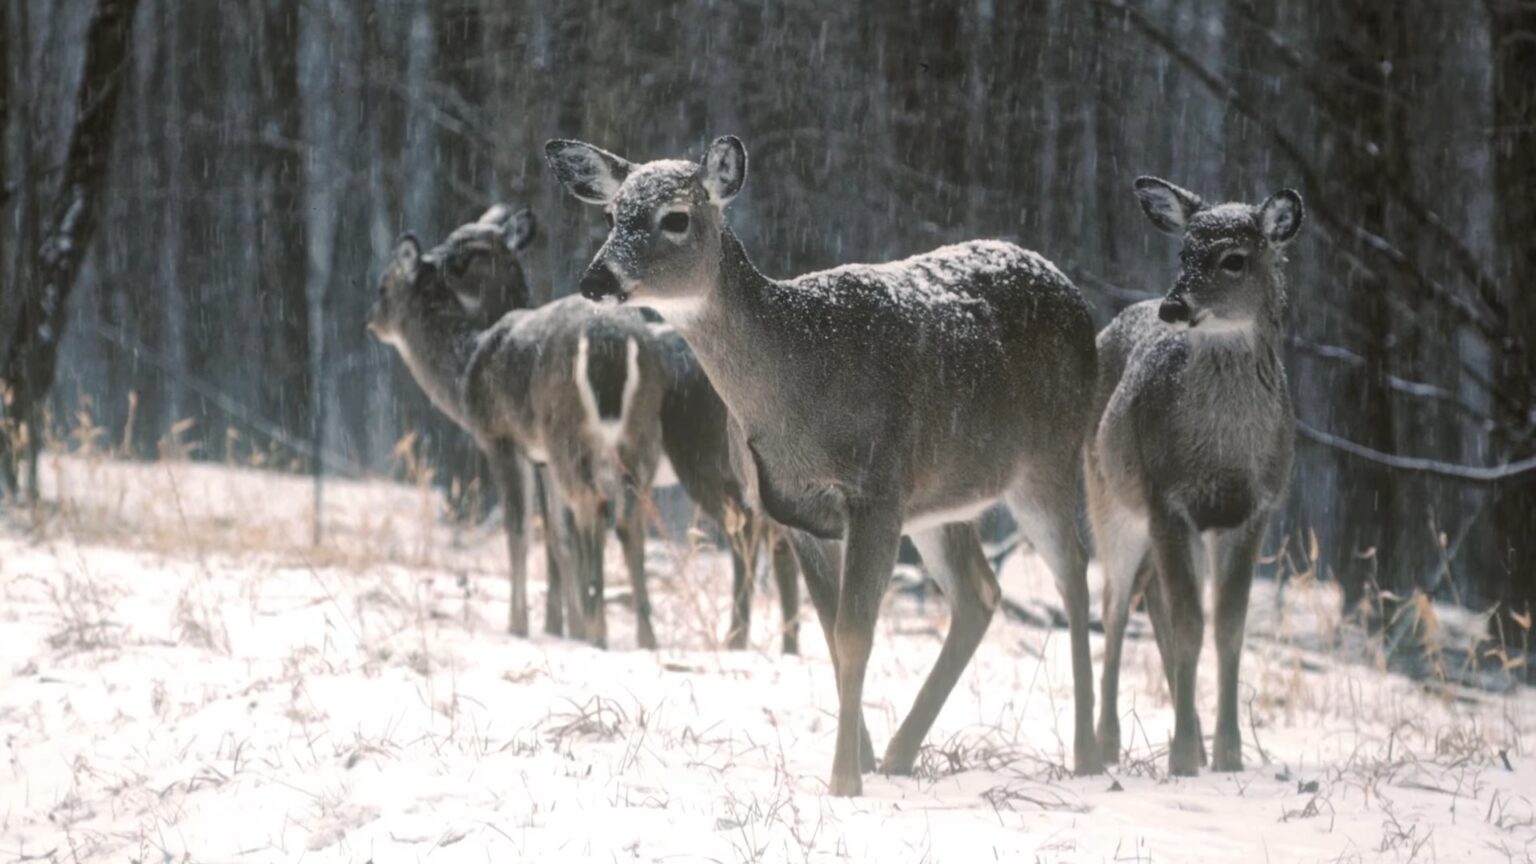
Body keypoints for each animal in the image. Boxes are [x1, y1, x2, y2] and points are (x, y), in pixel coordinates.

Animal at [546, 135, 1102, 796]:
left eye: (675, 217)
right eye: (611, 216)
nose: (596, 278)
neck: (798, 377)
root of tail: (1074, 296)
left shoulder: (875, 491)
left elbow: (855, 635)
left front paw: (845, 783)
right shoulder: (795, 512)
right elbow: (832, 635)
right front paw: (861, 760)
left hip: (1048, 461)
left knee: (1075, 578)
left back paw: (1093, 754)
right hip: (940, 501)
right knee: (980, 593)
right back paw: (900, 754)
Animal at [1087, 177, 1301, 776]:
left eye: (1233, 259)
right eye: (1183, 252)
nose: (1173, 305)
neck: (1222, 456)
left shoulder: (1254, 509)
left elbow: (1228, 627)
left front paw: (1228, 754)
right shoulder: (1168, 498)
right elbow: (1190, 625)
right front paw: (1182, 755)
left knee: (1152, 602)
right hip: (1109, 500)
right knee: (1114, 608)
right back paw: (1106, 744)